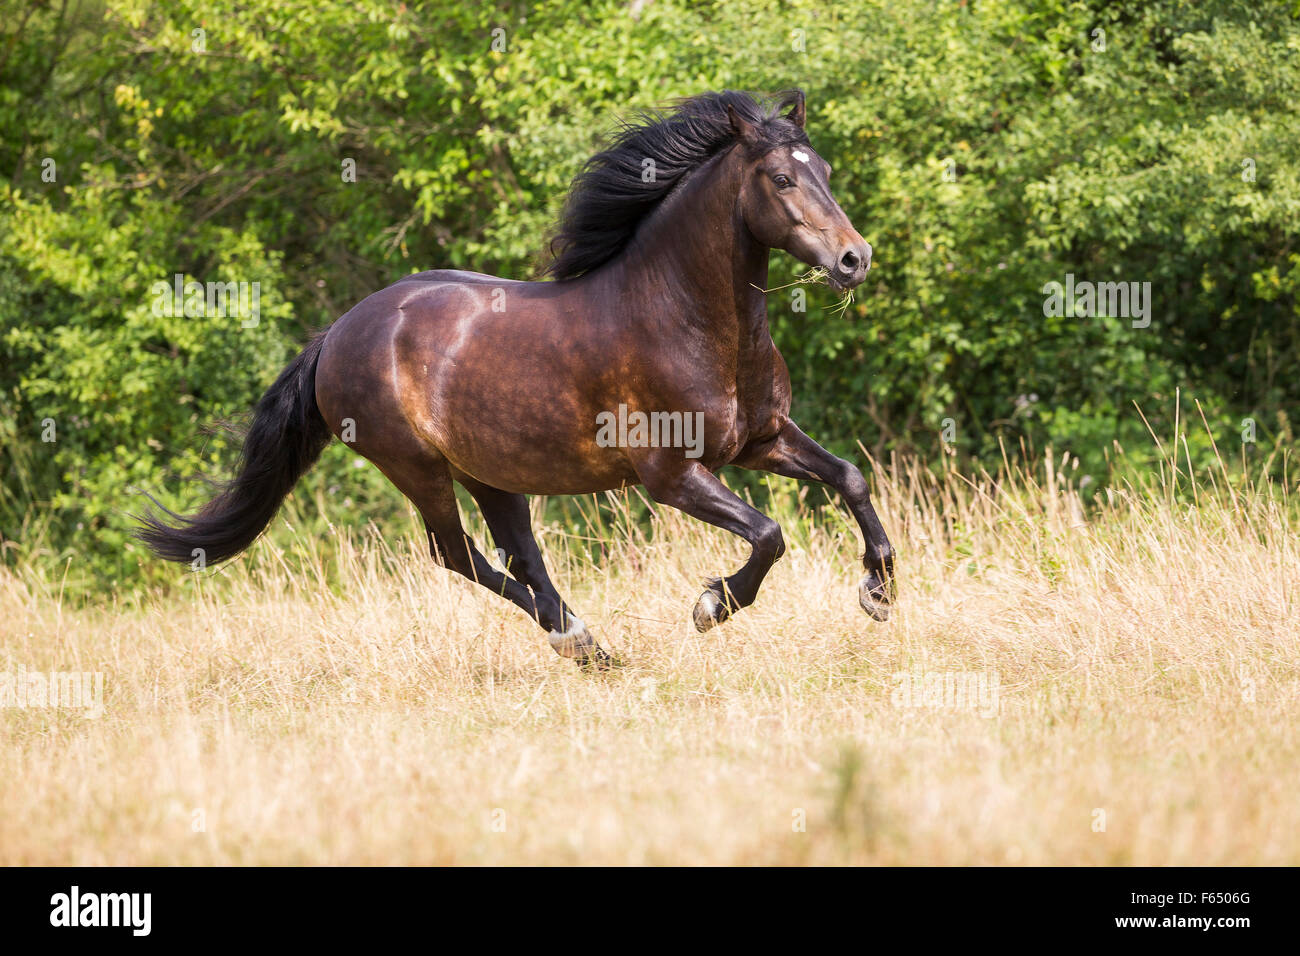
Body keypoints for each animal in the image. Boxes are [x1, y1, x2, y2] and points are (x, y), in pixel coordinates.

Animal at [138, 90, 896, 666]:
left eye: (826, 169)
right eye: (782, 179)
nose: (854, 259)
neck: (683, 317)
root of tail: (339, 333)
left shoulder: (760, 439)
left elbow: (849, 477)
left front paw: (879, 592)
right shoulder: (673, 475)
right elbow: (769, 533)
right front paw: (711, 605)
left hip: (490, 471)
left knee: (519, 553)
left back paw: (587, 645)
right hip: (417, 467)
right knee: (457, 553)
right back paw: (578, 640)